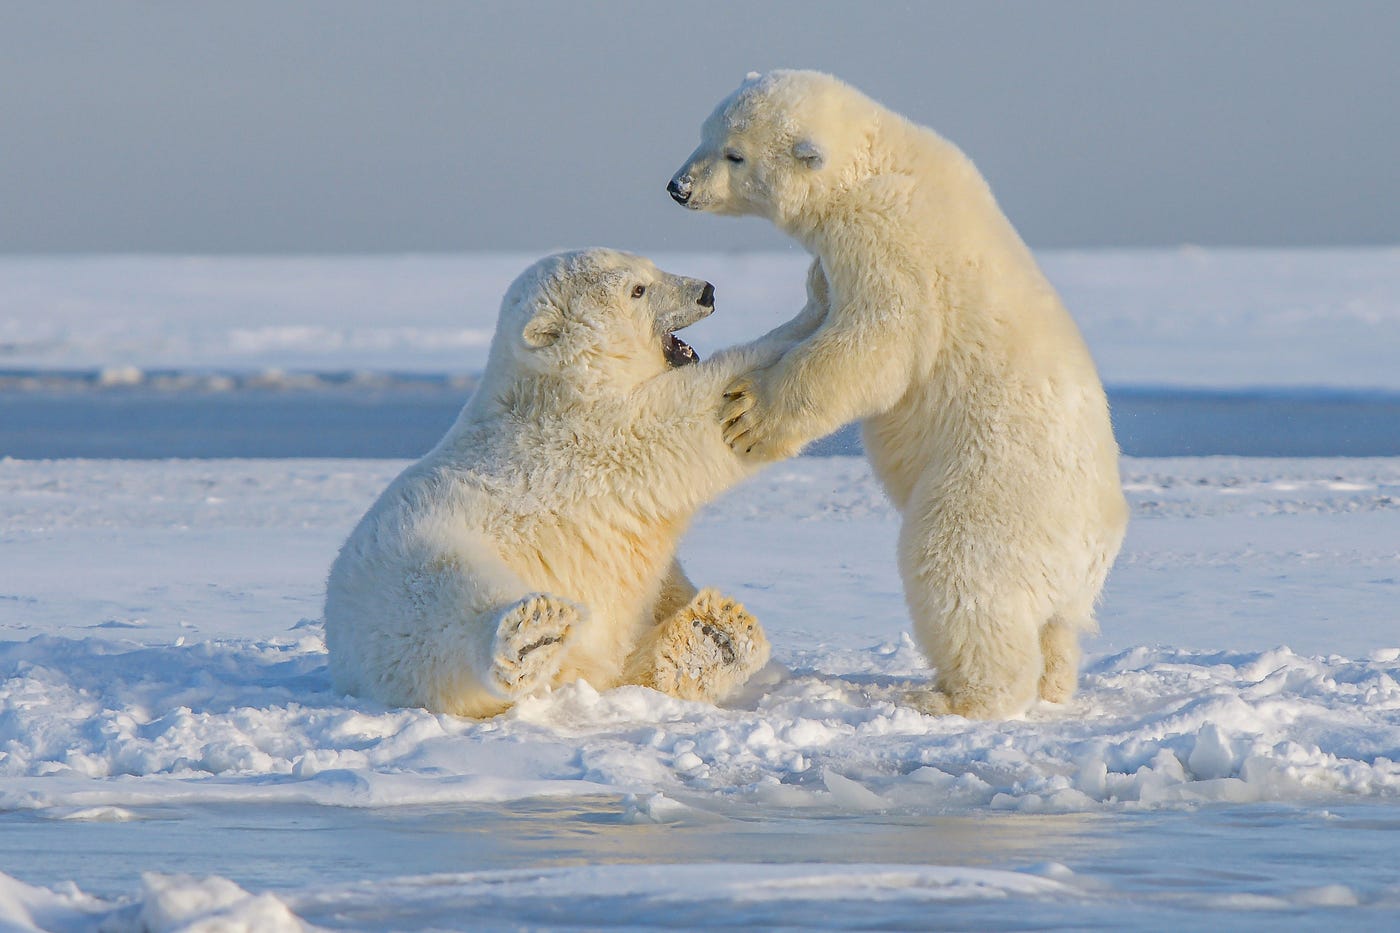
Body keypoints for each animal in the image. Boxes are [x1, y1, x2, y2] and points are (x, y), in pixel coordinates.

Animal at [324, 249, 780, 717]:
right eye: (637, 289)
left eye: (652, 266)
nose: (707, 291)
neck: (553, 387)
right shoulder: (586, 436)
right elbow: (682, 419)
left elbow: (660, 580)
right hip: (413, 563)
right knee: (446, 600)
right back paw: (532, 636)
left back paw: (715, 634)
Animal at [668, 70, 1129, 719]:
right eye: (705, 134)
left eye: (735, 154)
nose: (678, 187)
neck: (878, 159)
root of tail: (1095, 546)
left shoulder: (889, 241)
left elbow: (878, 340)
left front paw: (749, 415)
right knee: (1055, 627)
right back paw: (1053, 684)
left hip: (995, 490)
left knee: (958, 572)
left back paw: (952, 698)